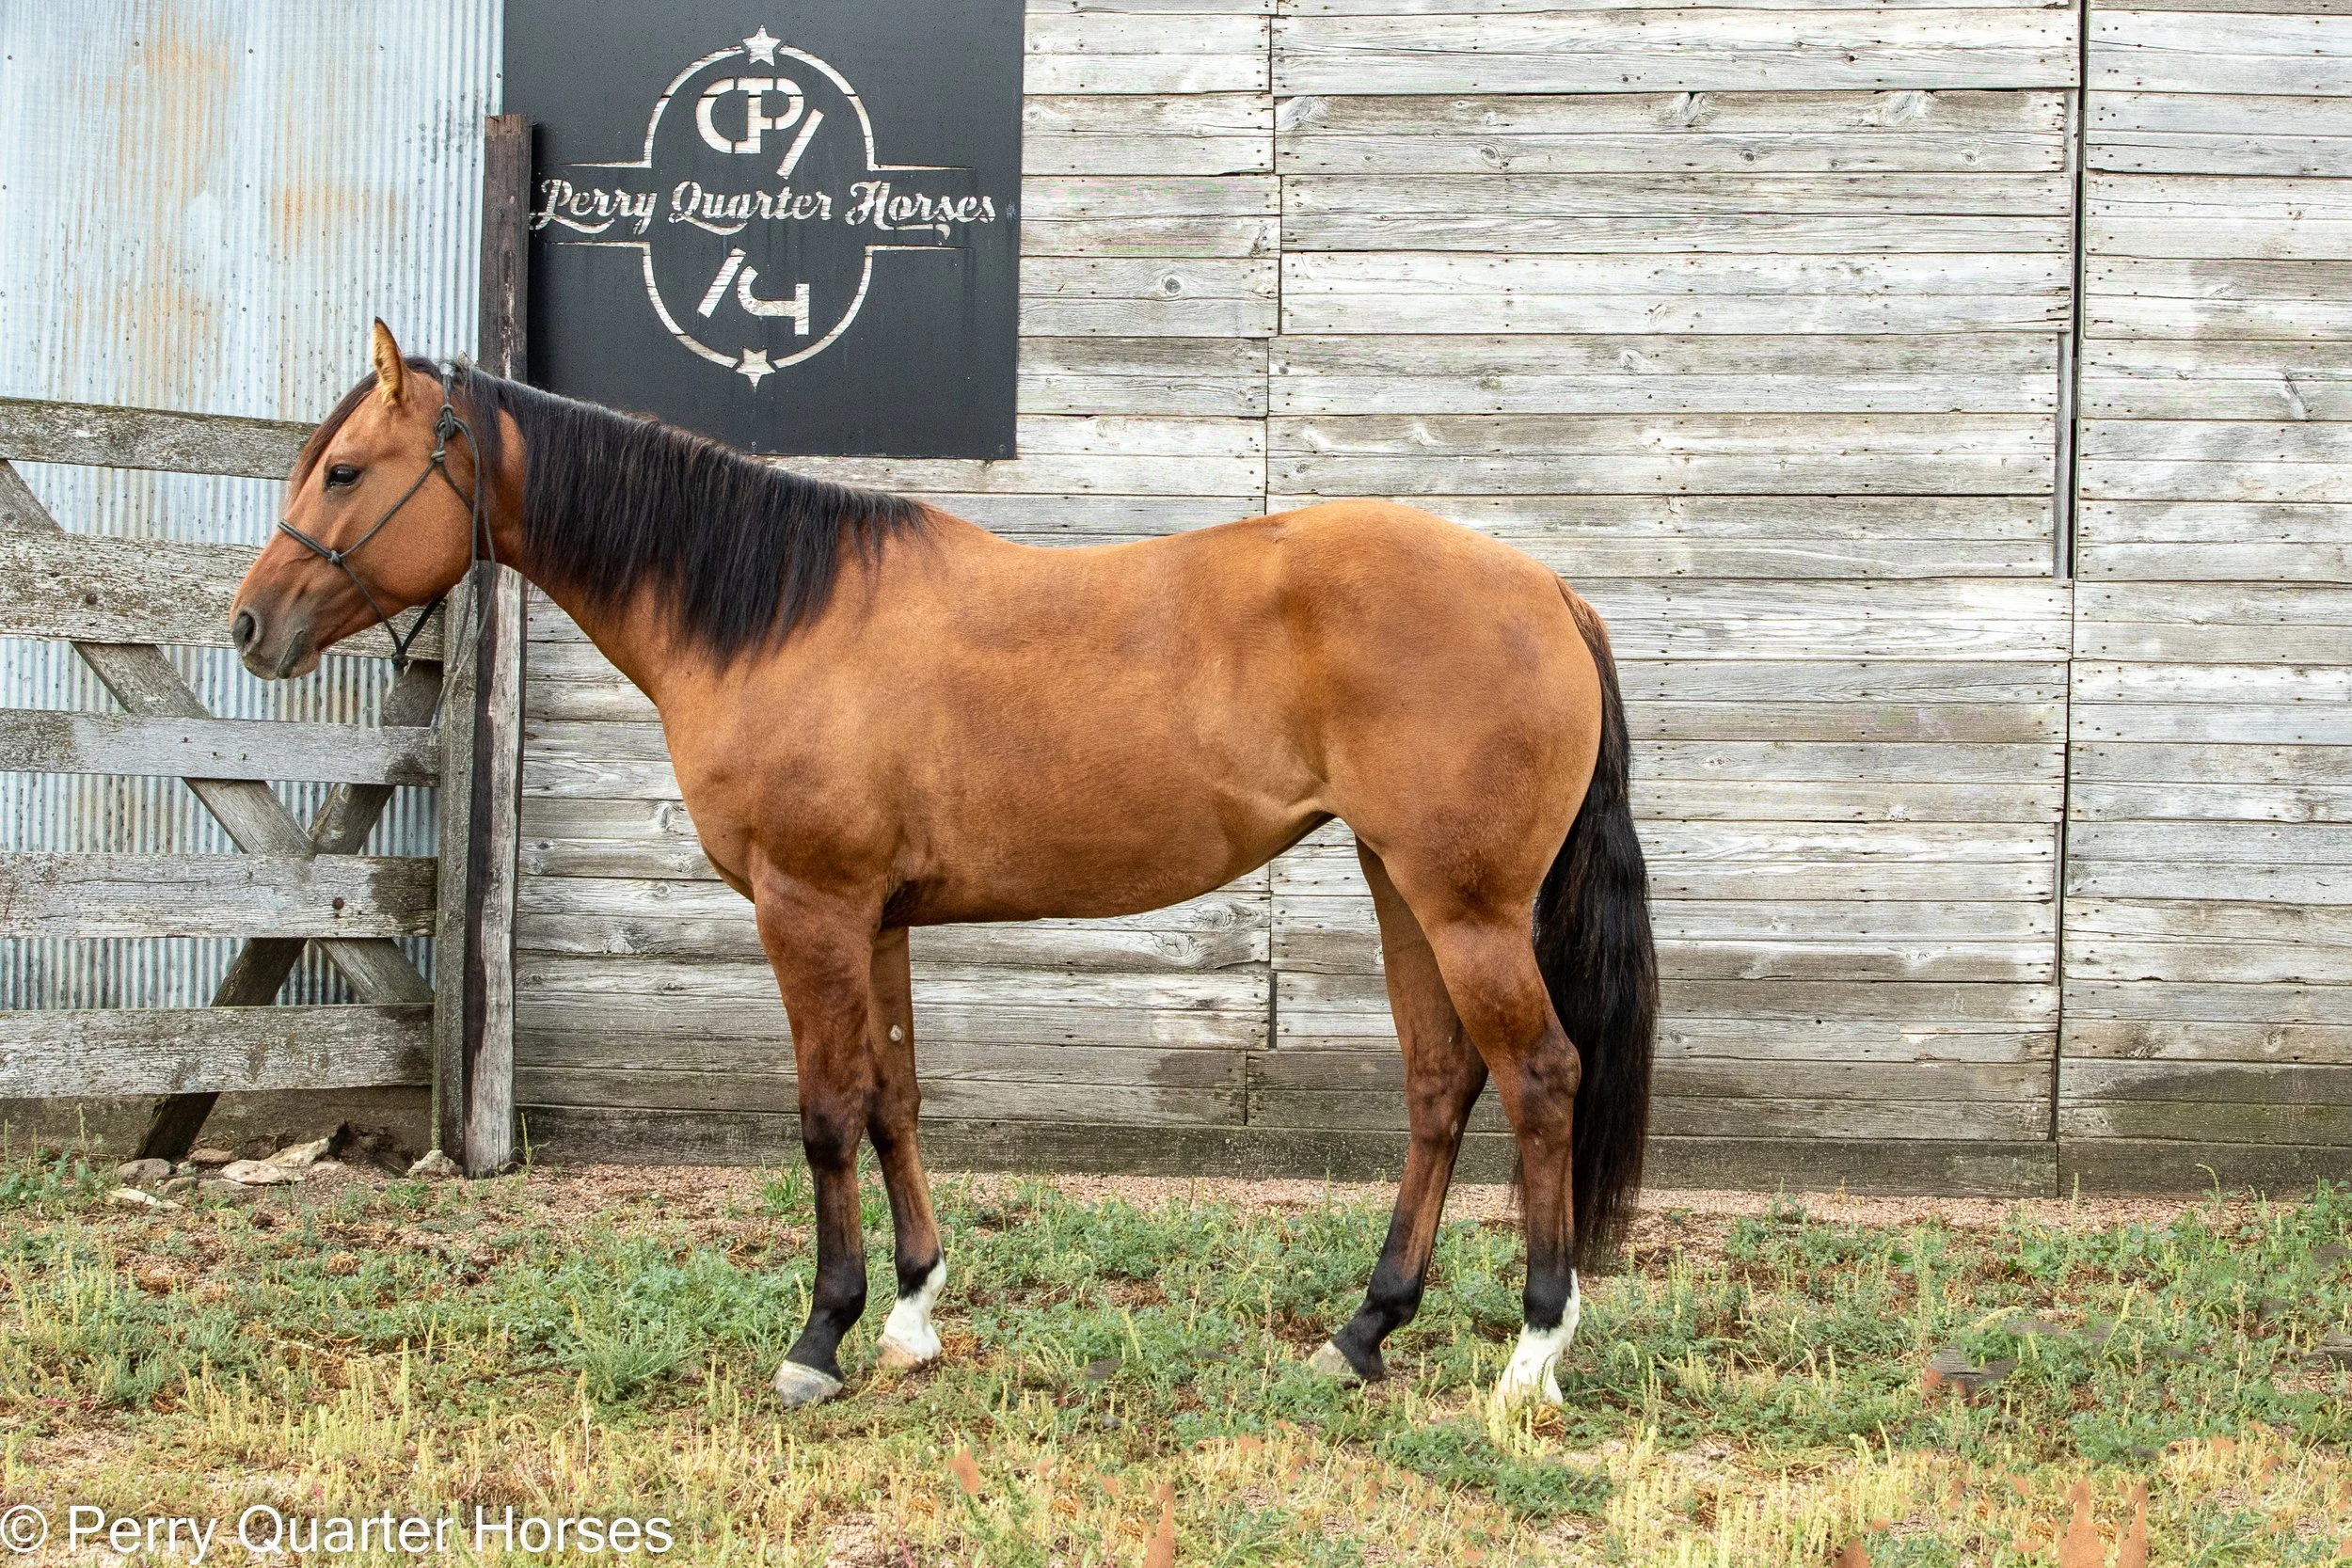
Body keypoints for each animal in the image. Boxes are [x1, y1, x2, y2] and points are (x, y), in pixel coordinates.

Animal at [232, 321, 1658, 1411]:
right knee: (1438, 1084)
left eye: (345, 470)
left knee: (1541, 1077)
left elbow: (824, 1114)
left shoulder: (807, 910)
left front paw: (819, 1338)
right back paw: (1363, 1330)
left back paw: (1531, 1354)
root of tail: (1549, 590)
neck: (775, 613)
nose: (249, 625)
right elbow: (895, 1099)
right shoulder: (879, 920)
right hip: (1401, 884)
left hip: (1466, 905)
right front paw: (912, 1314)